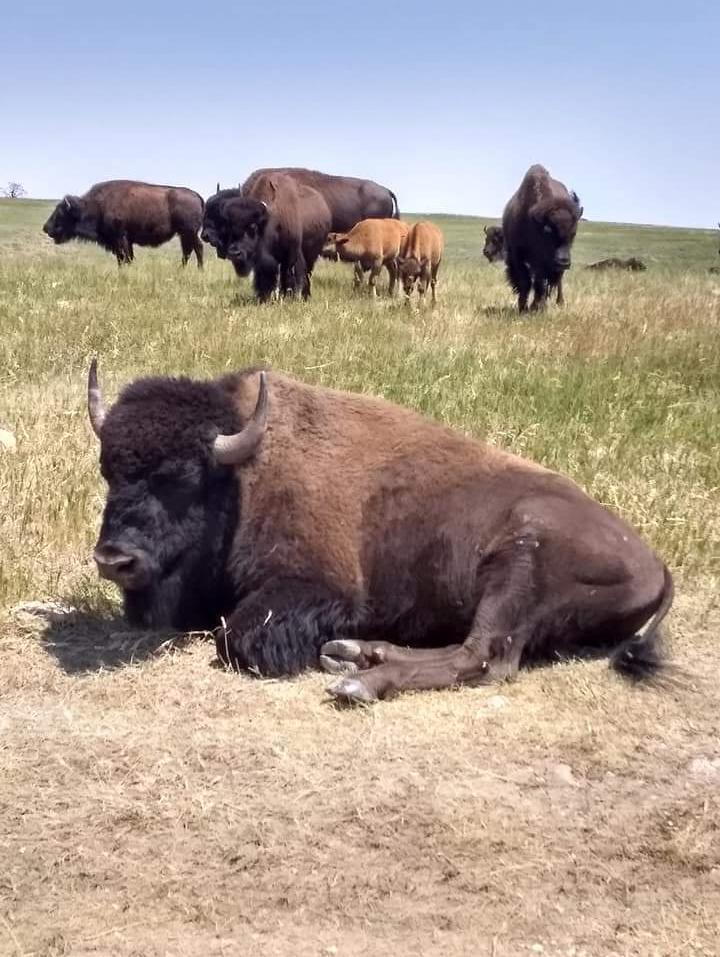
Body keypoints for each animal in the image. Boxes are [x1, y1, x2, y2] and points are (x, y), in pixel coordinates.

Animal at [42, 180, 204, 267]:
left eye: (60, 213)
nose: (46, 227)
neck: (97, 205)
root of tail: (196, 195)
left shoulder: (120, 239)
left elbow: (124, 258)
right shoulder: (126, 241)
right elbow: (125, 258)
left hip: (189, 232)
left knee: (197, 248)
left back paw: (199, 270)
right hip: (184, 234)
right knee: (188, 251)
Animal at [87, 360, 673, 704]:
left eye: (183, 480)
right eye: (108, 471)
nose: (115, 559)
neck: (243, 473)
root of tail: (657, 563)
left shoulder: (321, 587)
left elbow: (237, 637)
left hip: (522, 559)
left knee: (482, 656)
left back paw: (357, 679)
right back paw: (354, 654)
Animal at [502, 165, 583, 311]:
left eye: (573, 233)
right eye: (547, 232)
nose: (563, 262)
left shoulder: (541, 262)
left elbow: (540, 283)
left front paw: (536, 306)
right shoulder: (517, 254)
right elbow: (525, 281)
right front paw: (523, 307)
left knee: (557, 282)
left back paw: (559, 302)